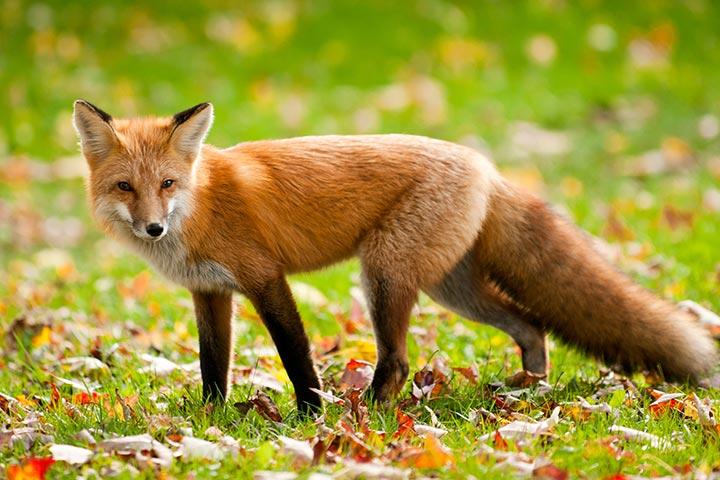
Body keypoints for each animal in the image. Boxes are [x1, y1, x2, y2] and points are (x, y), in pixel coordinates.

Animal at [72, 99, 717, 413]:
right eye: (127, 187)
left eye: (168, 184)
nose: (154, 227)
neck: (202, 204)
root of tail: (485, 165)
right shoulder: (209, 292)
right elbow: (213, 366)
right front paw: (211, 419)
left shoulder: (265, 279)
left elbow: (296, 358)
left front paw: (310, 418)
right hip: (451, 289)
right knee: (531, 324)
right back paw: (527, 387)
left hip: (383, 276)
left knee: (401, 361)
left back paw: (369, 417)